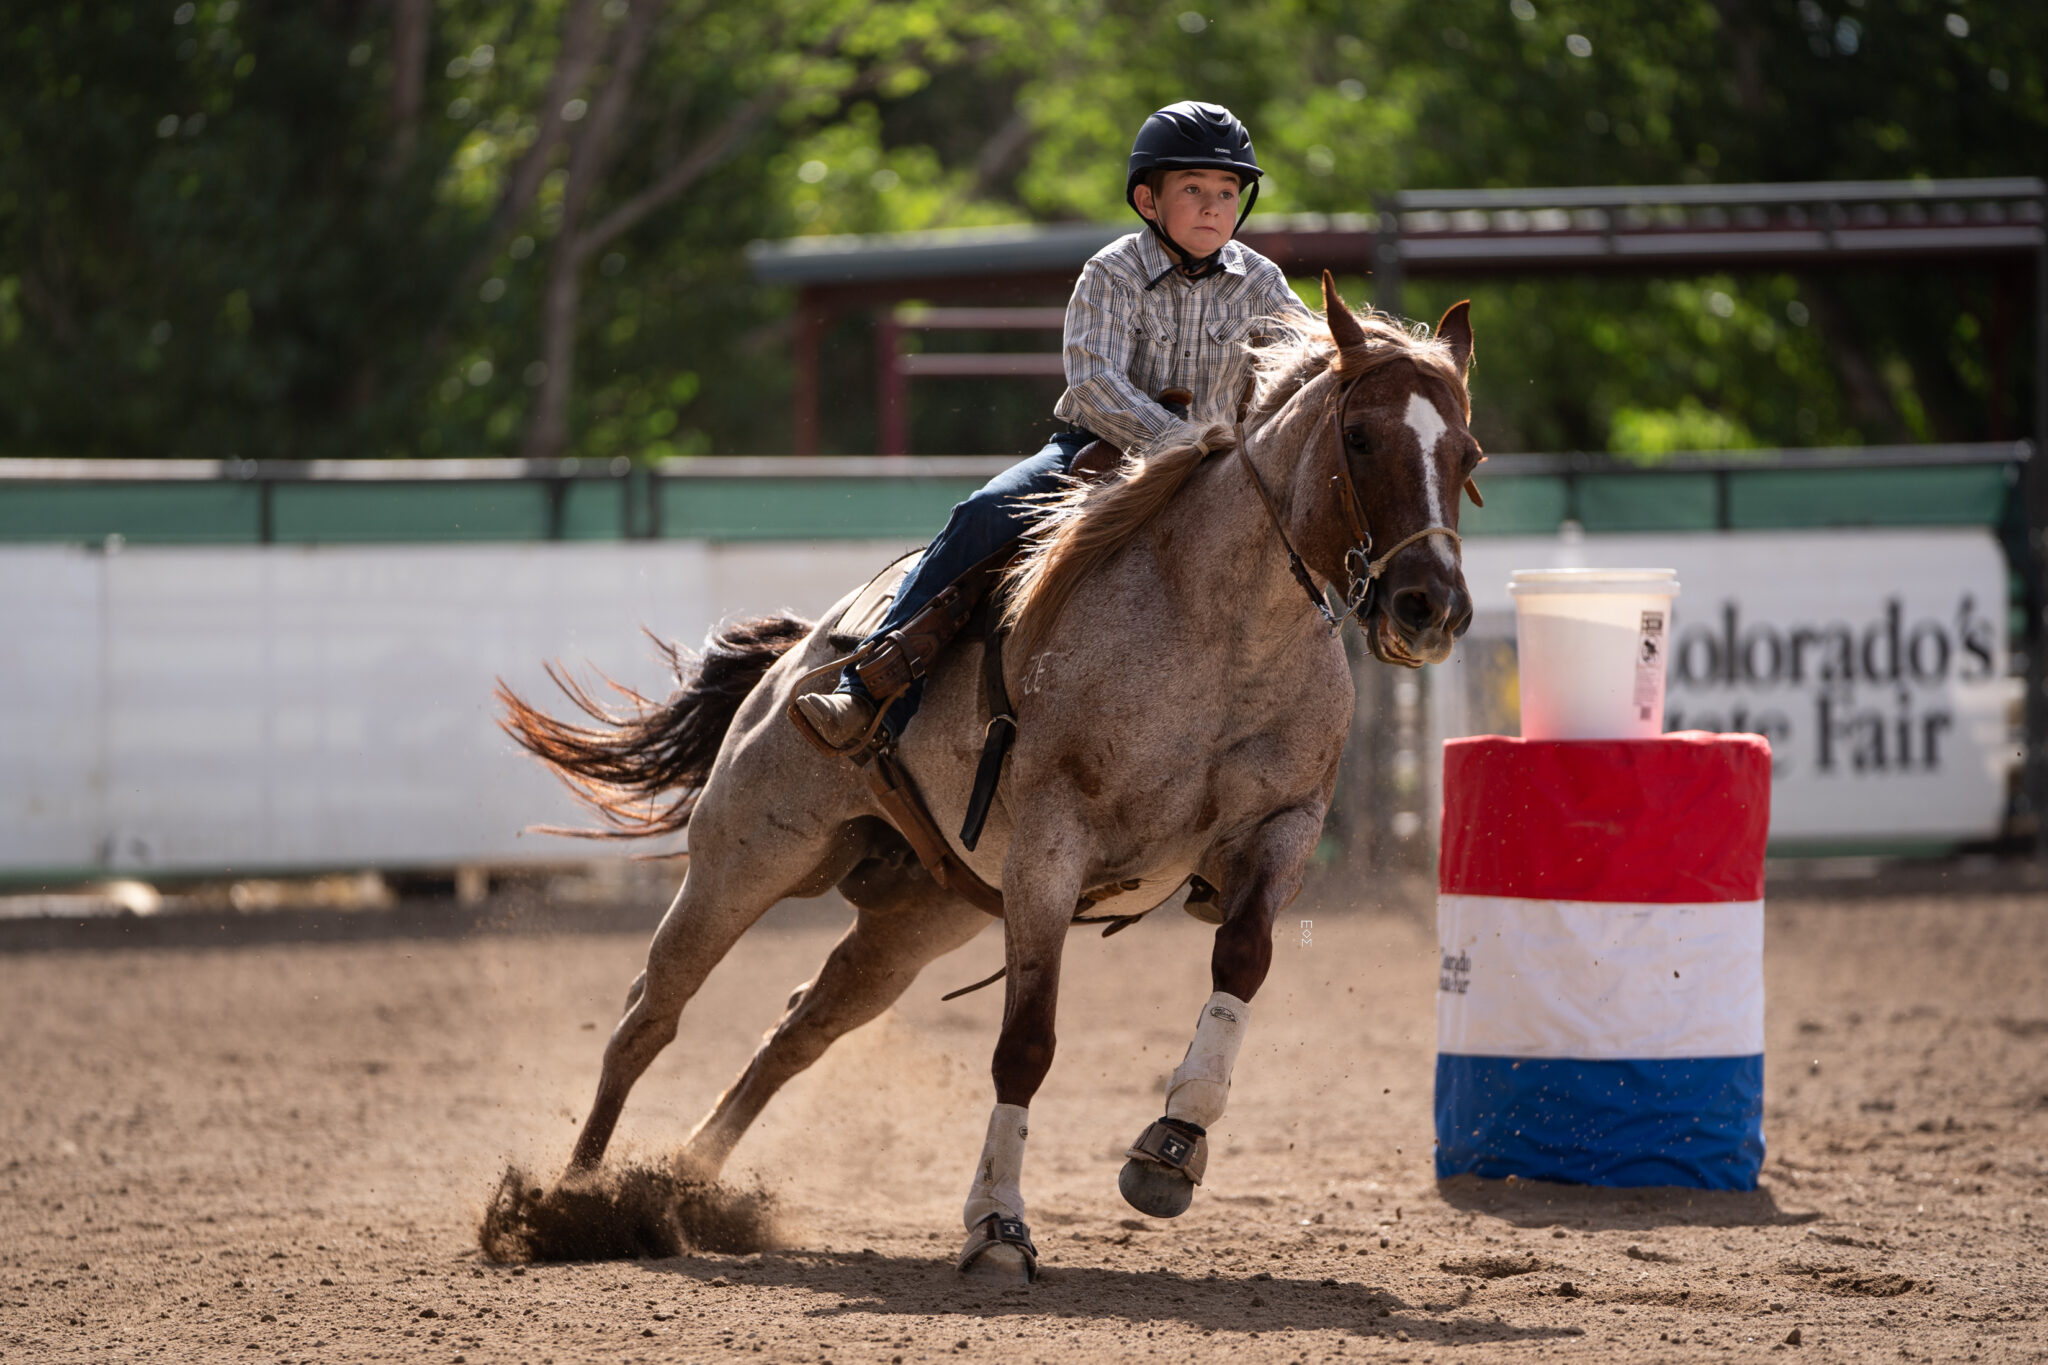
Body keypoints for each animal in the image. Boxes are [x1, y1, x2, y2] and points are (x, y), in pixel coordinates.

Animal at [497, 274, 1479, 1282]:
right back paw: (575, 1202)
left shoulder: (1284, 828)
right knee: (649, 1011)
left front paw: (1170, 1148)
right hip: (745, 858)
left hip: (919, 915)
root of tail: (796, 661)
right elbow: (1025, 1044)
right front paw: (998, 1224)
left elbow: (1241, 962)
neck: (1223, 635)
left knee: (802, 1025)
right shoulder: (1049, 851)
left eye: (1469, 450)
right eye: (1359, 436)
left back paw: (684, 1184)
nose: (1430, 606)